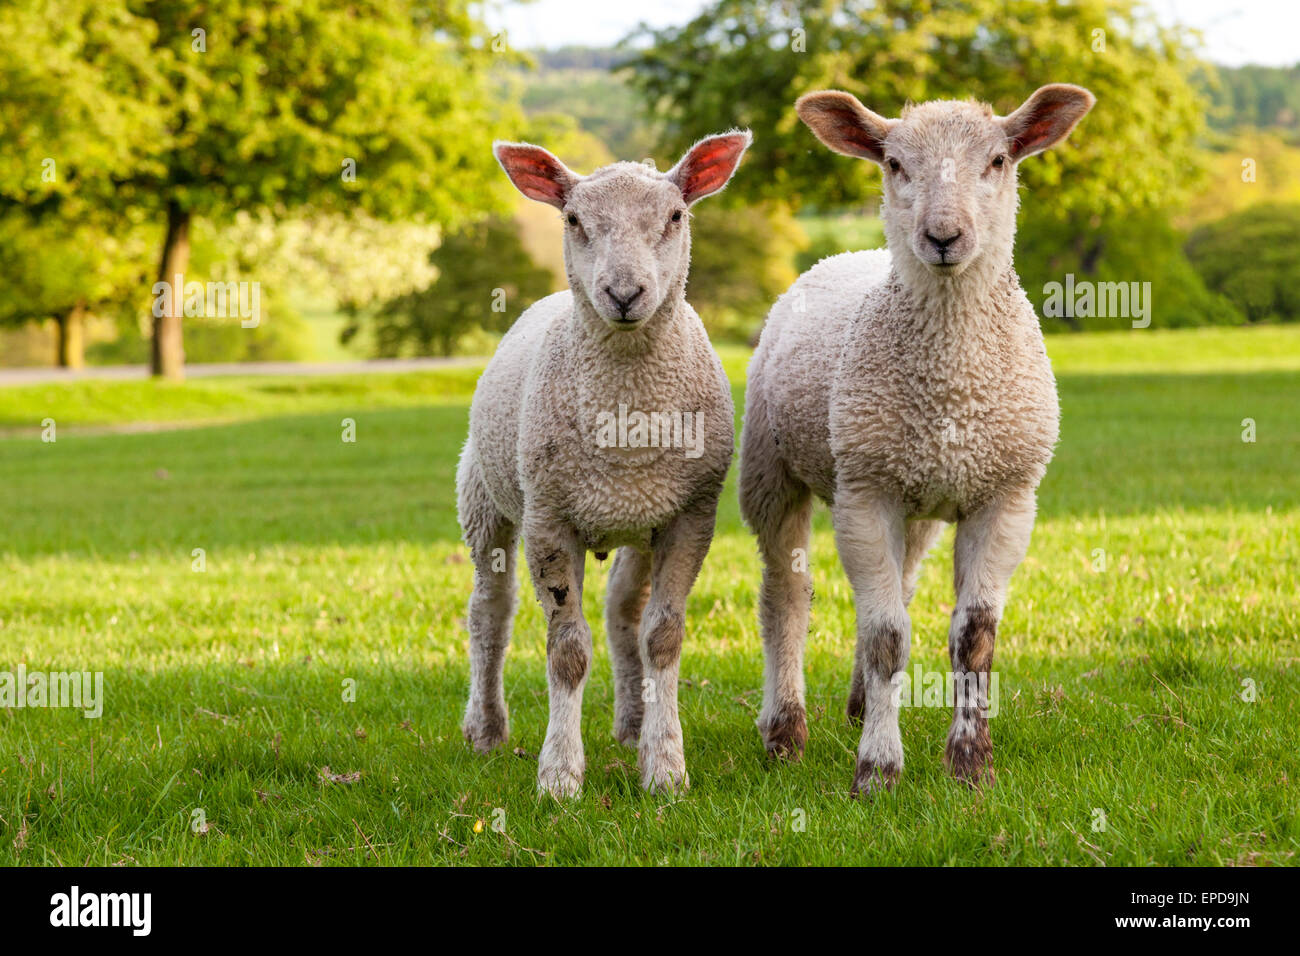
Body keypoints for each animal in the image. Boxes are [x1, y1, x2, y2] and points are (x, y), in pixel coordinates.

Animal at [457, 132, 751, 797]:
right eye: (573, 219)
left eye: (676, 216)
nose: (623, 294)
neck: (627, 414)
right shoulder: (548, 517)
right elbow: (566, 651)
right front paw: (560, 775)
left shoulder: (691, 514)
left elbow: (662, 637)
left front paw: (664, 766)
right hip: (485, 496)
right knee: (490, 611)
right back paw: (485, 728)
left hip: (639, 515)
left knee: (624, 611)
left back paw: (632, 723)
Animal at [739, 85, 1095, 795]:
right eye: (896, 164)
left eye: (998, 160)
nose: (944, 237)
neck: (953, 390)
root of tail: (846, 256)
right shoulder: (865, 490)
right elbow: (886, 637)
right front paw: (878, 770)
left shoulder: (1006, 496)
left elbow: (973, 637)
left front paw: (971, 764)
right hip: (772, 469)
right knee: (785, 596)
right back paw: (785, 729)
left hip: (919, 494)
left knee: (898, 586)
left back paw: (856, 704)